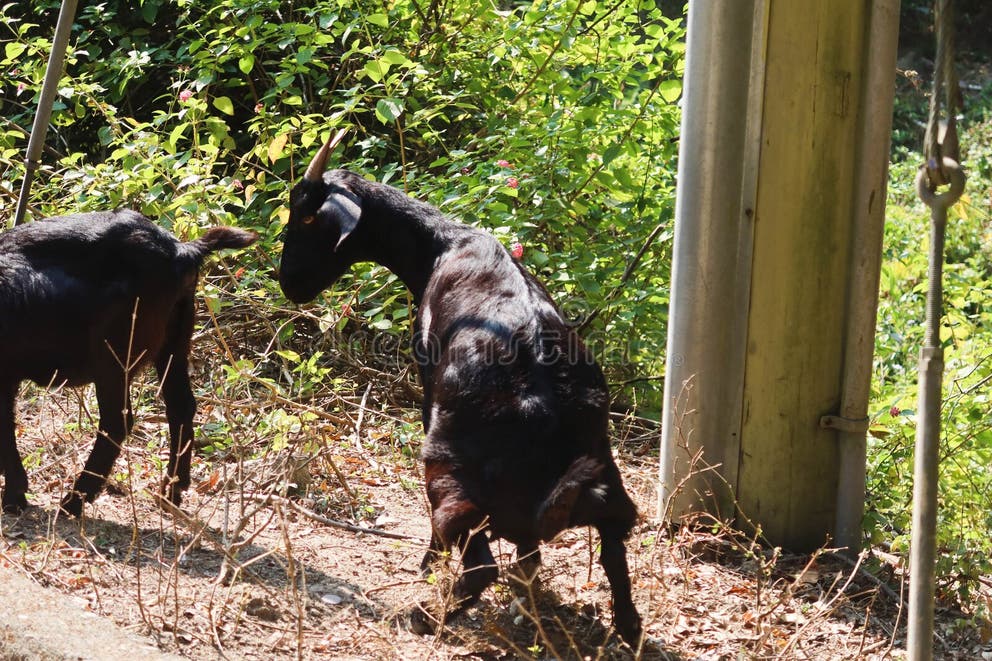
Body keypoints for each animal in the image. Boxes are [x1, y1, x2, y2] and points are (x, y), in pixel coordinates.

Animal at [0, 210, 257, 516]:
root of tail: (182, 251)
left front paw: (14, 496)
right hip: (175, 341)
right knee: (181, 406)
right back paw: (172, 491)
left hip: (115, 355)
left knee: (116, 422)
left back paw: (74, 500)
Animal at [278, 132, 643, 645]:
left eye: (306, 215)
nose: (287, 282)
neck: (442, 245)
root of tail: (547, 412)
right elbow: (530, 557)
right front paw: (527, 593)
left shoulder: (428, 381)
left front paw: (428, 567)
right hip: (604, 475)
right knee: (611, 543)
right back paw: (626, 628)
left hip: (450, 477)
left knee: (479, 563)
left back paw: (425, 614)